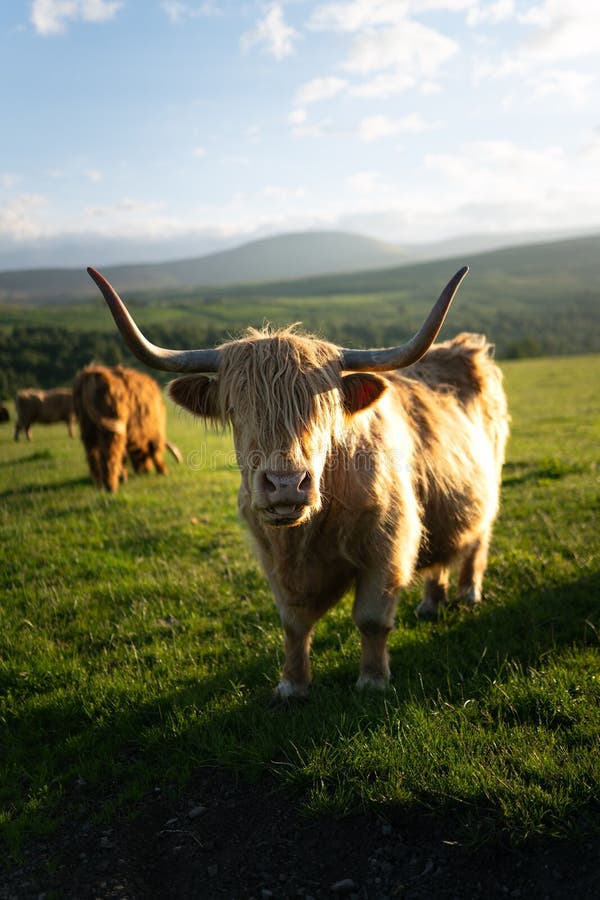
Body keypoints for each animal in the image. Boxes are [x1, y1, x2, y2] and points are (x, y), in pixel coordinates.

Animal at [73, 363, 182, 493]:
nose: (144, 470)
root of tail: (91, 375)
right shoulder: (155, 431)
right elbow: (155, 451)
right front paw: (163, 470)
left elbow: (123, 455)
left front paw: (123, 476)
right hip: (111, 426)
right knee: (110, 454)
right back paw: (111, 486)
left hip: (88, 429)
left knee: (93, 455)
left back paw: (100, 485)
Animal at [87, 265, 509, 698]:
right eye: (236, 409)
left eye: (325, 408)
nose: (286, 483)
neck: (305, 536)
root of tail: (465, 347)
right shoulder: (274, 559)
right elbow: (293, 624)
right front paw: (292, 684)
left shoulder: (386, 548)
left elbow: (371, 618)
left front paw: (372, 679)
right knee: (444, 547)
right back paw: (431, 602)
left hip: (489, 486)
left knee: (476, 540)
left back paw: (469, 593)